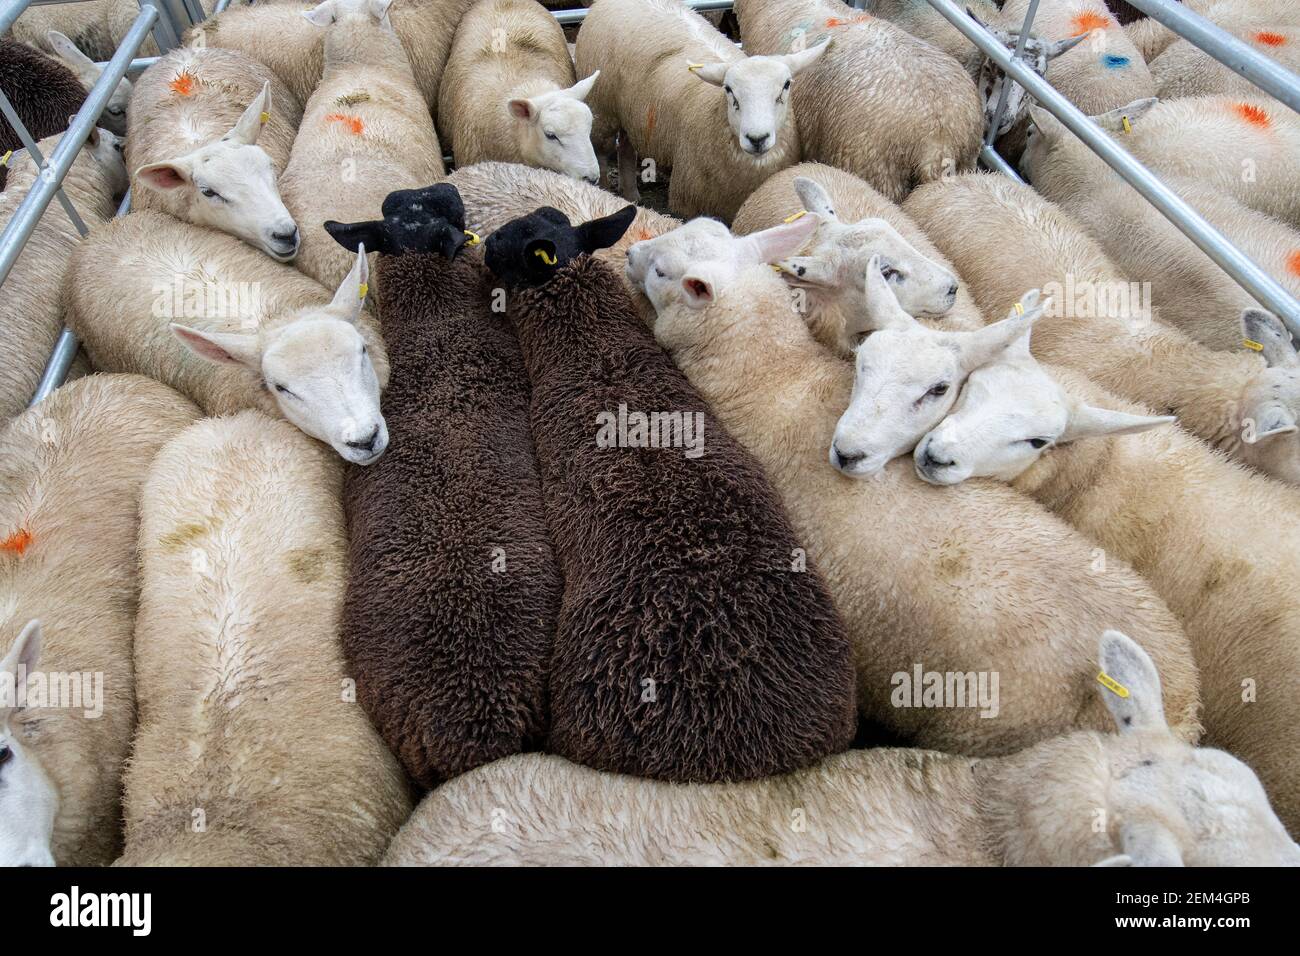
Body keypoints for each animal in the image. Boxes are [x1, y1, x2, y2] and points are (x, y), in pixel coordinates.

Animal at [574, 0, 829, 220]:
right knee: (602, 150)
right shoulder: (689, 202)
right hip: (602, 109)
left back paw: (631, 195)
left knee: (626, 145)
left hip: (633, 113)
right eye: (729, 90)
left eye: (786, 85)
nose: (757, 138)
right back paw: (605, 189)